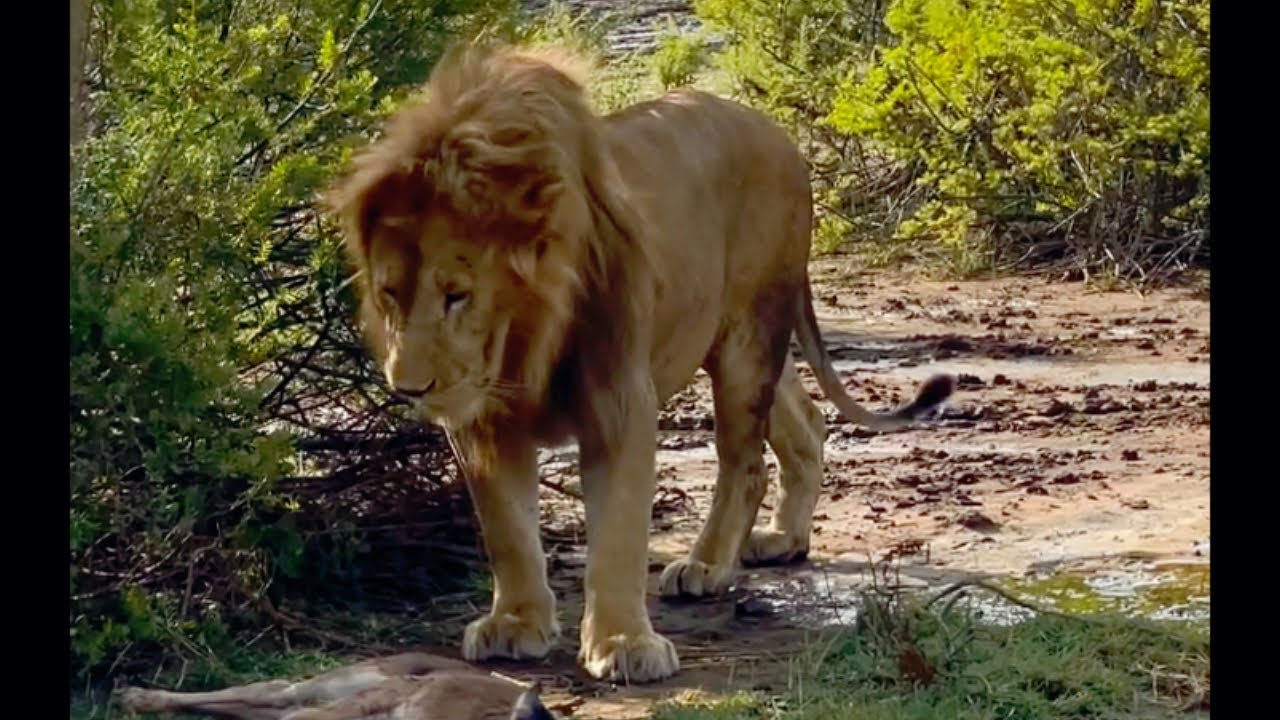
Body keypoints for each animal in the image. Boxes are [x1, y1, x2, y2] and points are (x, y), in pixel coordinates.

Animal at [324, 44, 953, 684]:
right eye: (390, 294)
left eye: (456, 295)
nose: (410, 388)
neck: (524, 341)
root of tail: (778, 134)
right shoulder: (482, 417)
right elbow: (506, 528)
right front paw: (516, 624)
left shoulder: (618, 397)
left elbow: (620, 530)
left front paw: (623, 642)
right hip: (738, 343)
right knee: (808, 422)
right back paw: (784, 538)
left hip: (747, 338)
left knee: (745, 462)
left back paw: (707, 566)